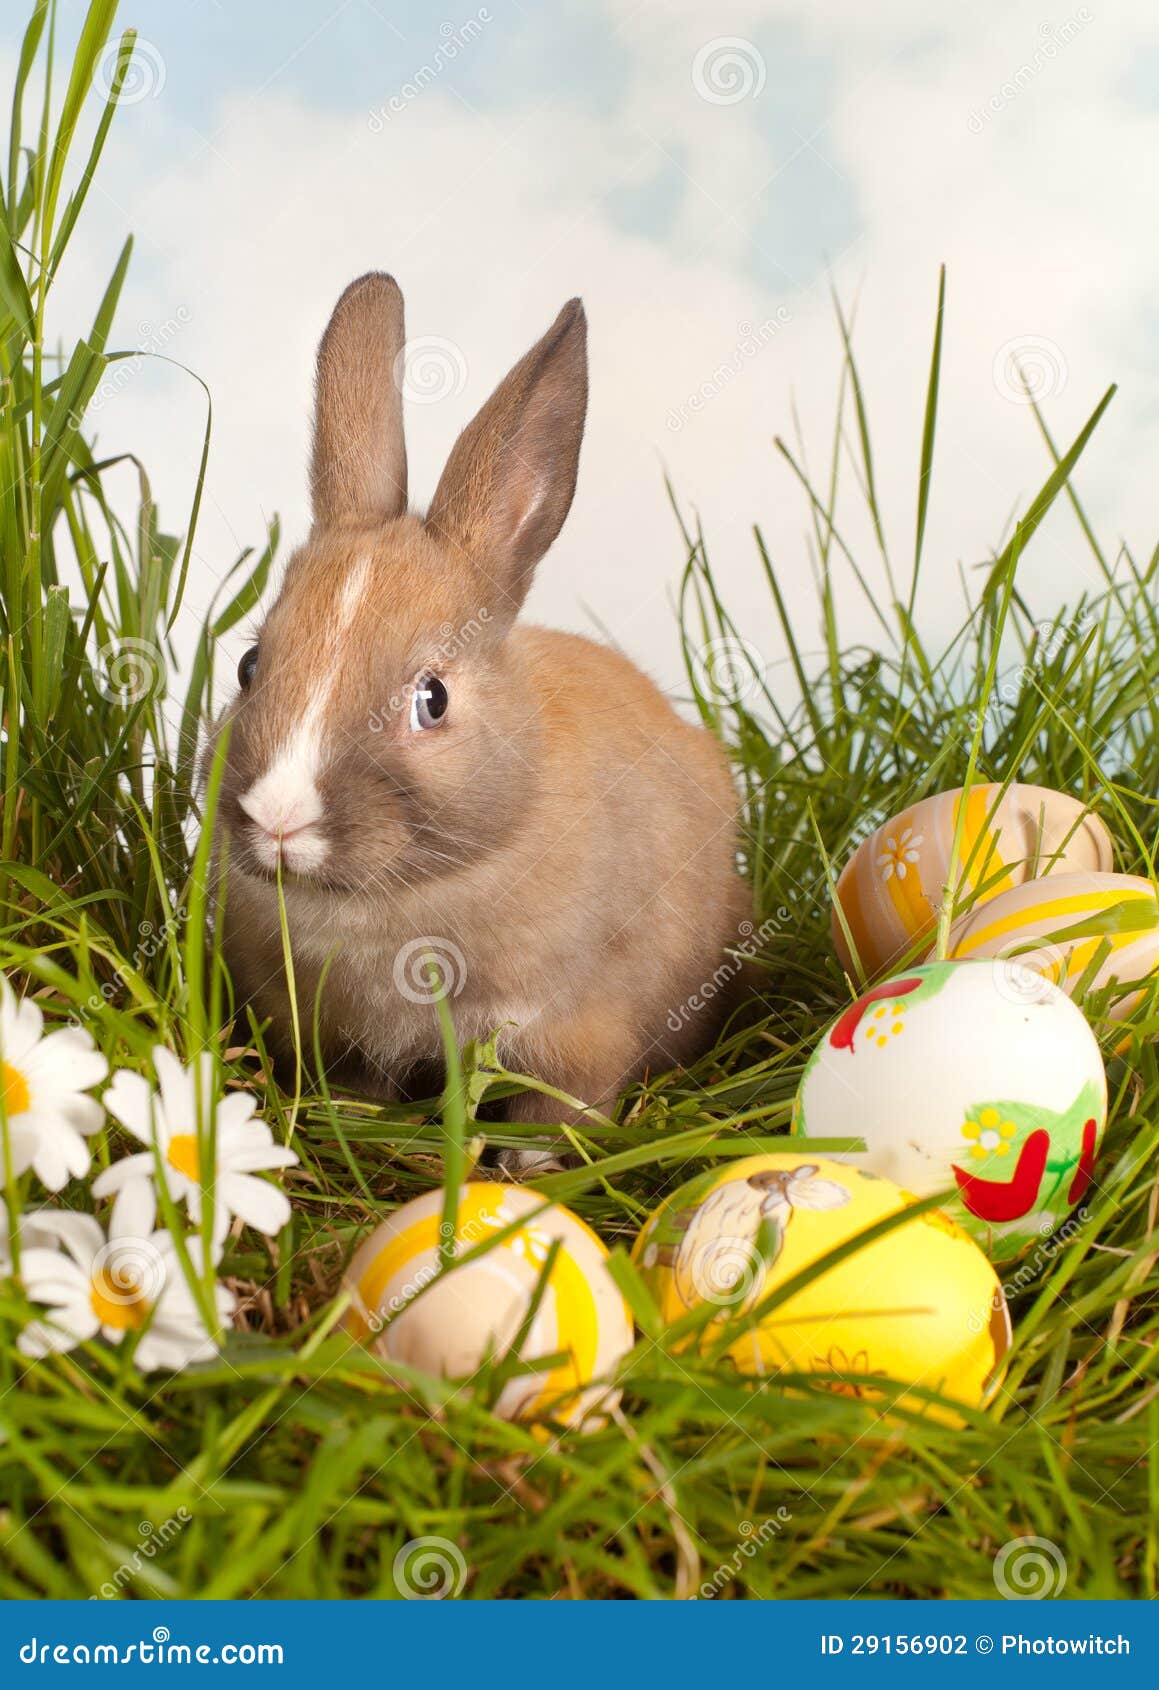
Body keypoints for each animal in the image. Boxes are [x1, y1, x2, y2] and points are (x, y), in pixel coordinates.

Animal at [214, 272, 753, 1170]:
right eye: (250, 667)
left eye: (431, 699)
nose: (279, 817)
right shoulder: (342, 1038)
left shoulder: (576, 1033)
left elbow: (558, 1111)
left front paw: (525, 1171)